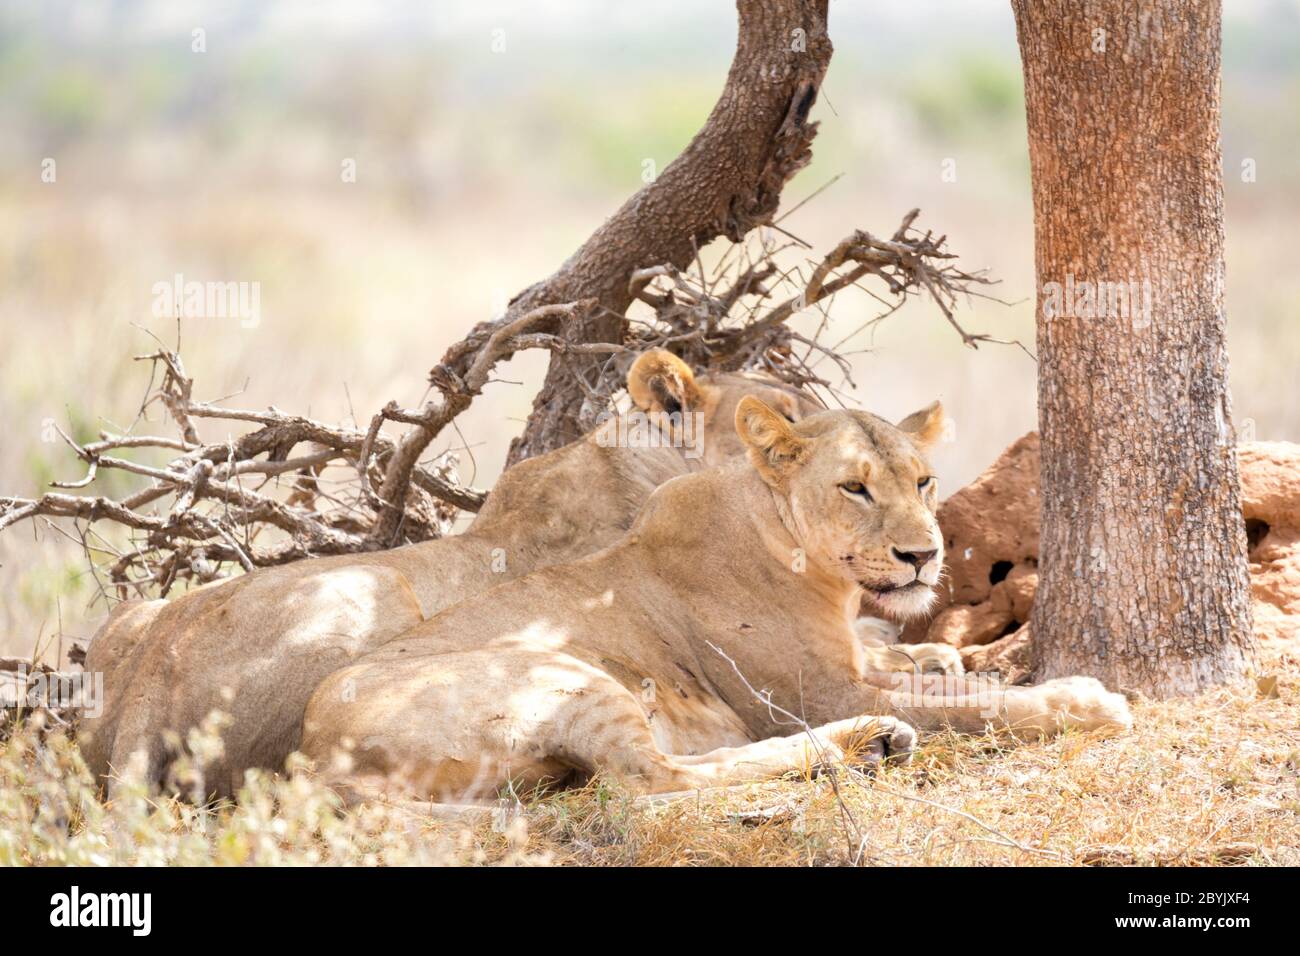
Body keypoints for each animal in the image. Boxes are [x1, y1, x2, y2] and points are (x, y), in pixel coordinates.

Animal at [299, 398, 1132, 803]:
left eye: (923, 480)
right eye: (854, 488)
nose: (923, 554)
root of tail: (312, 754)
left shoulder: (844, 664)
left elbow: (935, 674)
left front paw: (945, 659)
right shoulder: (813, 690)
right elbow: (973, 708)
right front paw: (1086, 699)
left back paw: (872, 741)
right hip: (560, 675)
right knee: (651, 778)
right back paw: (860, 741)